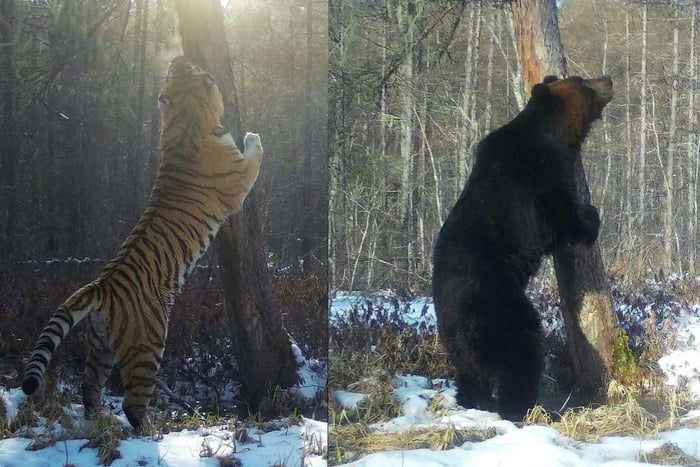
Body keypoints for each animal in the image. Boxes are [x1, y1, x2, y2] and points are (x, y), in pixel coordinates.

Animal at [21, 56, 264, 429]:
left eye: (176, 70)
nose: (179, 57)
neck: (186, 118)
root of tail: (101, 286)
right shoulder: (238, 180)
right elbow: (256, 153)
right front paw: (253, 134)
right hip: (147, 346)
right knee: (133, 404)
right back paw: (151, 431)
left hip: (100, 347)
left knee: (89, 388)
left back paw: (99, 421)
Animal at [432, 75, 613, 421]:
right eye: (583, 82)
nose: (608, 80)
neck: (555, 136)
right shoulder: (537, 180)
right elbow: (561, 218)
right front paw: (592, 217)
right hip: (498, 306)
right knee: (521, 351)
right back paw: (524, 407)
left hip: (454, 339)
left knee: (470, 374)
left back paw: (476, 402)